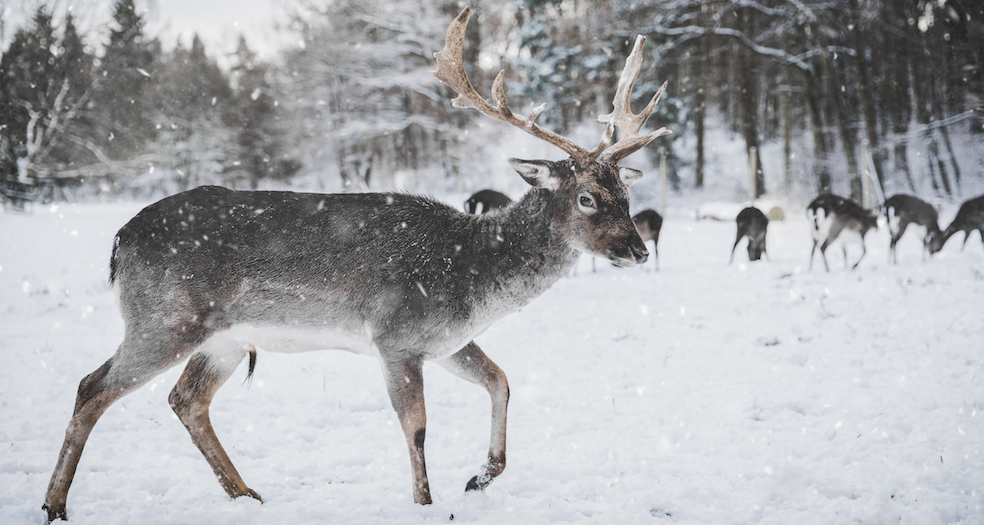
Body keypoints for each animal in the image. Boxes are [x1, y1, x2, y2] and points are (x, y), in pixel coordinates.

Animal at [41, 7, 670, 522]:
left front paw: (480, 477)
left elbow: (501, 380)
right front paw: (425, 503)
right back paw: (56, 505)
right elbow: (417, 428)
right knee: (92, 386)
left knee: (185, 400)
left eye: (625, 191)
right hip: (164, 318)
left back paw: (247, 495)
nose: (637, 250)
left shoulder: (445, 340)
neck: (472, 276)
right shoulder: (397, 335)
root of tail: (120, 241)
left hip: (223, 338)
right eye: (586, 198)